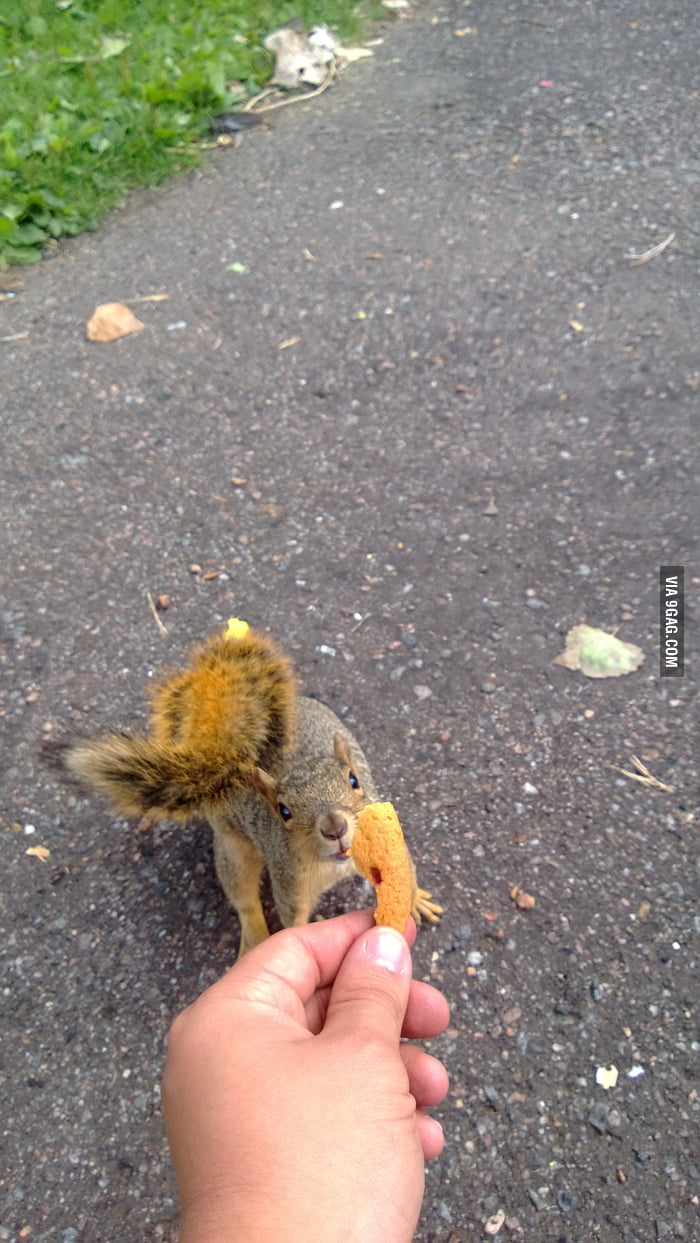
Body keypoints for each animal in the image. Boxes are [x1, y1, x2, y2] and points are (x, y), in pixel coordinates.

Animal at [64, 619, 442, 957]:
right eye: (283, 811)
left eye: (353, 779)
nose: (335, 828)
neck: (335, 866)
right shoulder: (289, 881)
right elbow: (292, 920)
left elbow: (406, 869)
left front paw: (417, 900)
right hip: (233, 850)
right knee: (244, 898)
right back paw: (255, 937)